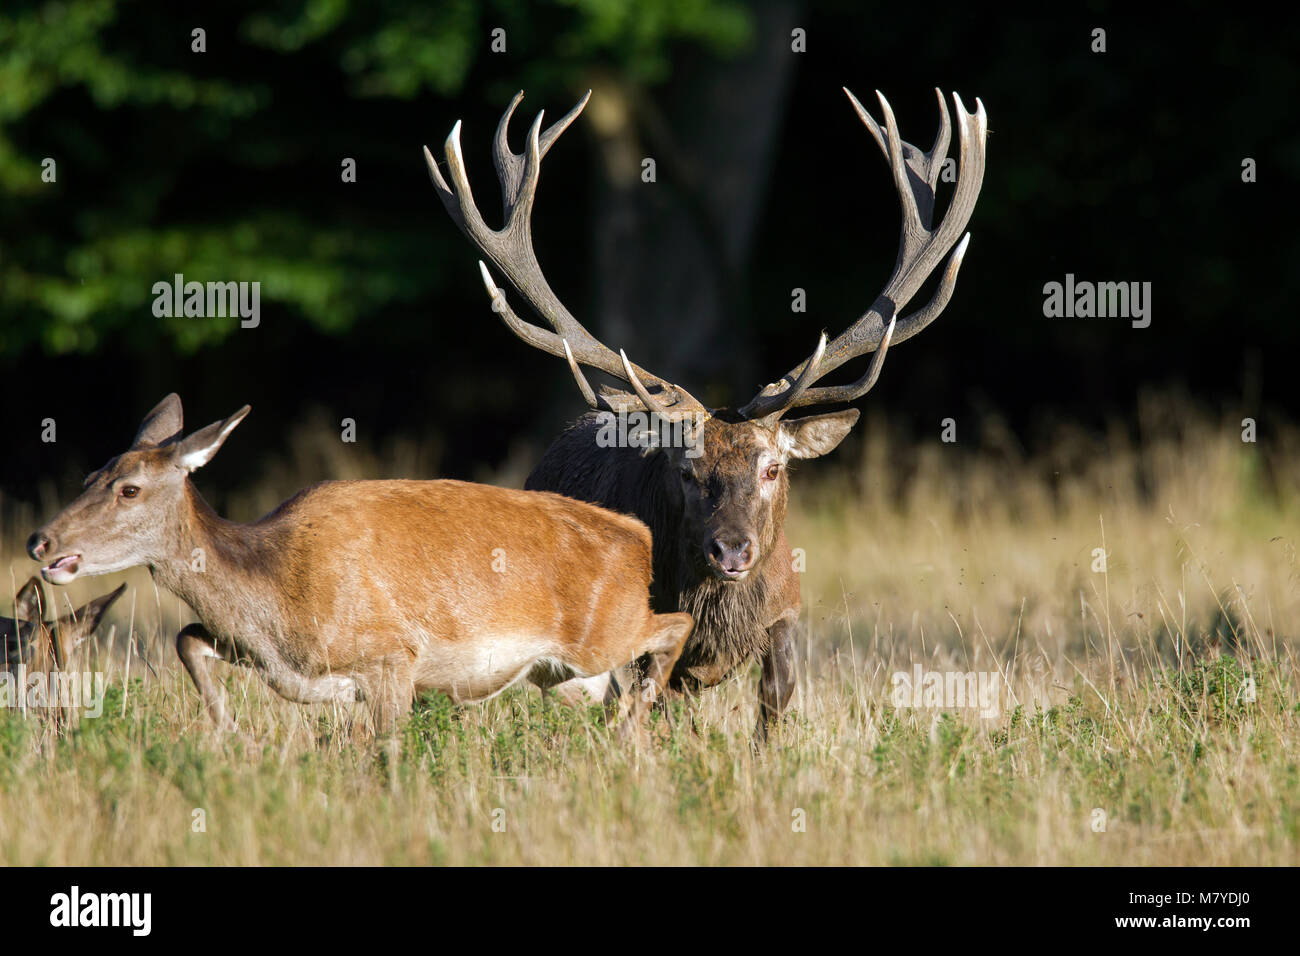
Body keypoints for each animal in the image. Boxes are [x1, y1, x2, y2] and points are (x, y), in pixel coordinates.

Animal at [26, 394, 693, 735]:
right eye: (88, 476)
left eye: (129, 489)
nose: (39, 541)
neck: (278, 593)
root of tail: (638, 537)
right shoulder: (265, 654)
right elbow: (185, 637)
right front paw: (232, 735)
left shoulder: (391, 654)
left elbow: (387, 755)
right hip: (562, 676)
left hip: (602, 631)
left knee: (674, 626)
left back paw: (634, 725)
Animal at [426, 86, 987, 741]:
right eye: (686, 472)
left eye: (772, 468)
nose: (732, 553)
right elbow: (640, 703)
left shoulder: (786, 606)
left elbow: (777, 692)